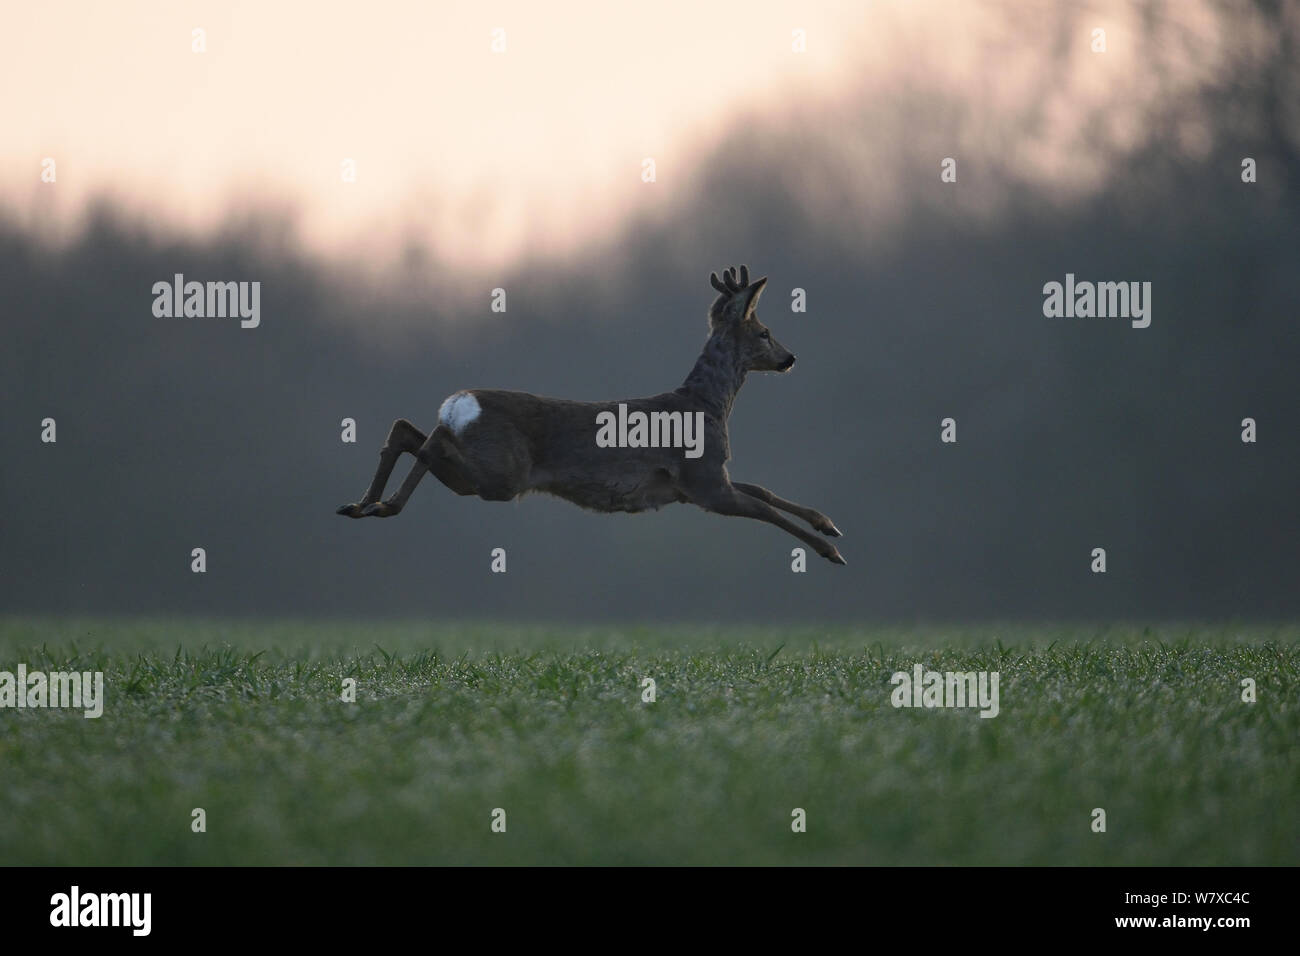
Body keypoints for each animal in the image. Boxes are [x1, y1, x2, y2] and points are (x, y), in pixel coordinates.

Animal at [336, 265, 846, 564]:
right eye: (764, 332)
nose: (789, 358)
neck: (706, 406)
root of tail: (459, 404)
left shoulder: (692, 484)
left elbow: (762, 490)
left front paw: (828, 524)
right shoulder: (704, 482)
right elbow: (762, 507)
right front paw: (829, 550)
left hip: (479, 473)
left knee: (406, 431)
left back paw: (360, 505)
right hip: (501, 473)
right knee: (428, 441)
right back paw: (383, 505)